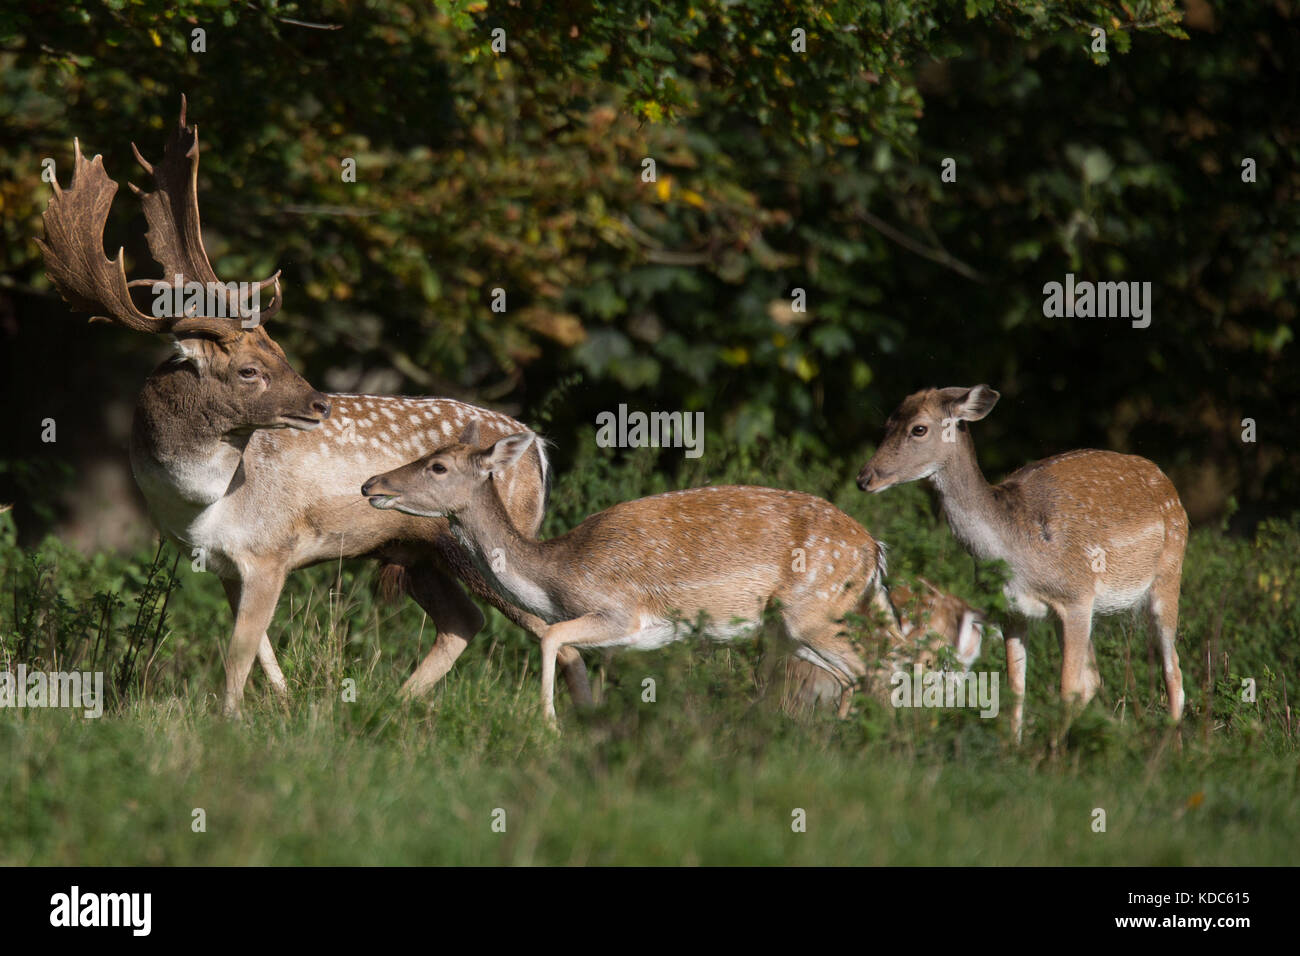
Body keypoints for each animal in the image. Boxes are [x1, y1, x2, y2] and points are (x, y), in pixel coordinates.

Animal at [35, 97, 591, 716]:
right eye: (250, 369)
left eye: (279, 351)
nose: (320, 404)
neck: (198, 502)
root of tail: (538, 448)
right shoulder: (225, 564)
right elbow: (257, 650)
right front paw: (282, 703)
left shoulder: (269, 549)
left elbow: (238, 655)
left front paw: (230, 721)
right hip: (419, 551)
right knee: (464, 621)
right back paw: (393, 706)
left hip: (486, 546)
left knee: (552, 629)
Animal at [361, 424, 905, 725]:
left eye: (437, 466)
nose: (371, 484)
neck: (557, 575)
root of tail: (874, 550)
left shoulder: (624, 613)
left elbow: (551, 637)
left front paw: (549, 725)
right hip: (797, 627)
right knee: (855, 674)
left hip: (814, 611)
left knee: (876, 669)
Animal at [856, 385, 1188, 741]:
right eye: (888, 423)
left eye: (918, 428)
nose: (864, 478)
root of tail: (1168, 484)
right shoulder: (1011, 610)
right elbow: (1016, 688)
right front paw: (1013, 747)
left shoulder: (1075, 597)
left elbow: (1066, 688)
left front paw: (1051, 752)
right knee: (1096, 678)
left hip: (1168, 574)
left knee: (1173, 672)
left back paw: (1171, 745)